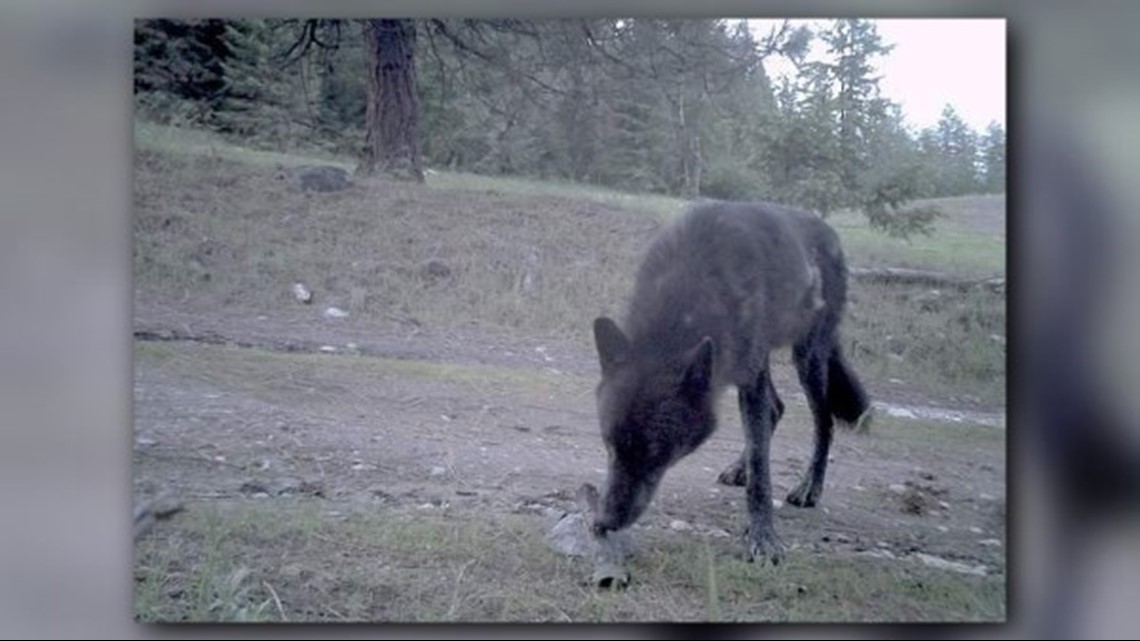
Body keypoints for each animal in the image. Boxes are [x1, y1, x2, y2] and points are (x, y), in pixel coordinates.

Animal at [590, 199, 872, 564]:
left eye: (656, 453)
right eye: (610, 444)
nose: (605, 522)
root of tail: (829, 231)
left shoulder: (751, 375)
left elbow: (762, 473)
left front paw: (763, 538)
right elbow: (759, 446)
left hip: (807, 359)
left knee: (822, 422)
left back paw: (809, 487)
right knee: (776, 409)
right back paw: (741, 468)